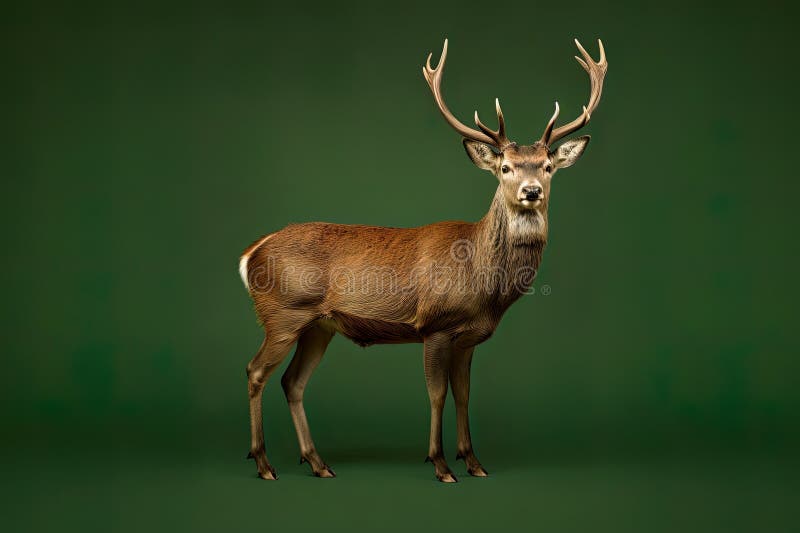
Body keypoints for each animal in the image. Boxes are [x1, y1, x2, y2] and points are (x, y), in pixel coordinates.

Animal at [238, 38, 607, 482]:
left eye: (549, 166)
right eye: (505, 167)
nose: (532, 191)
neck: (482, 279)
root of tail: (250, 253)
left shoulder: (469, 337)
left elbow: (464, 394)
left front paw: (474, 462)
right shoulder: (435, 326)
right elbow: (437, 395)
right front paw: (441, 464)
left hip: (317, 325)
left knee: (292, 382)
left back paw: (317, 462)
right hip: (283, 313)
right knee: (257, 371)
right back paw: (264, 463)